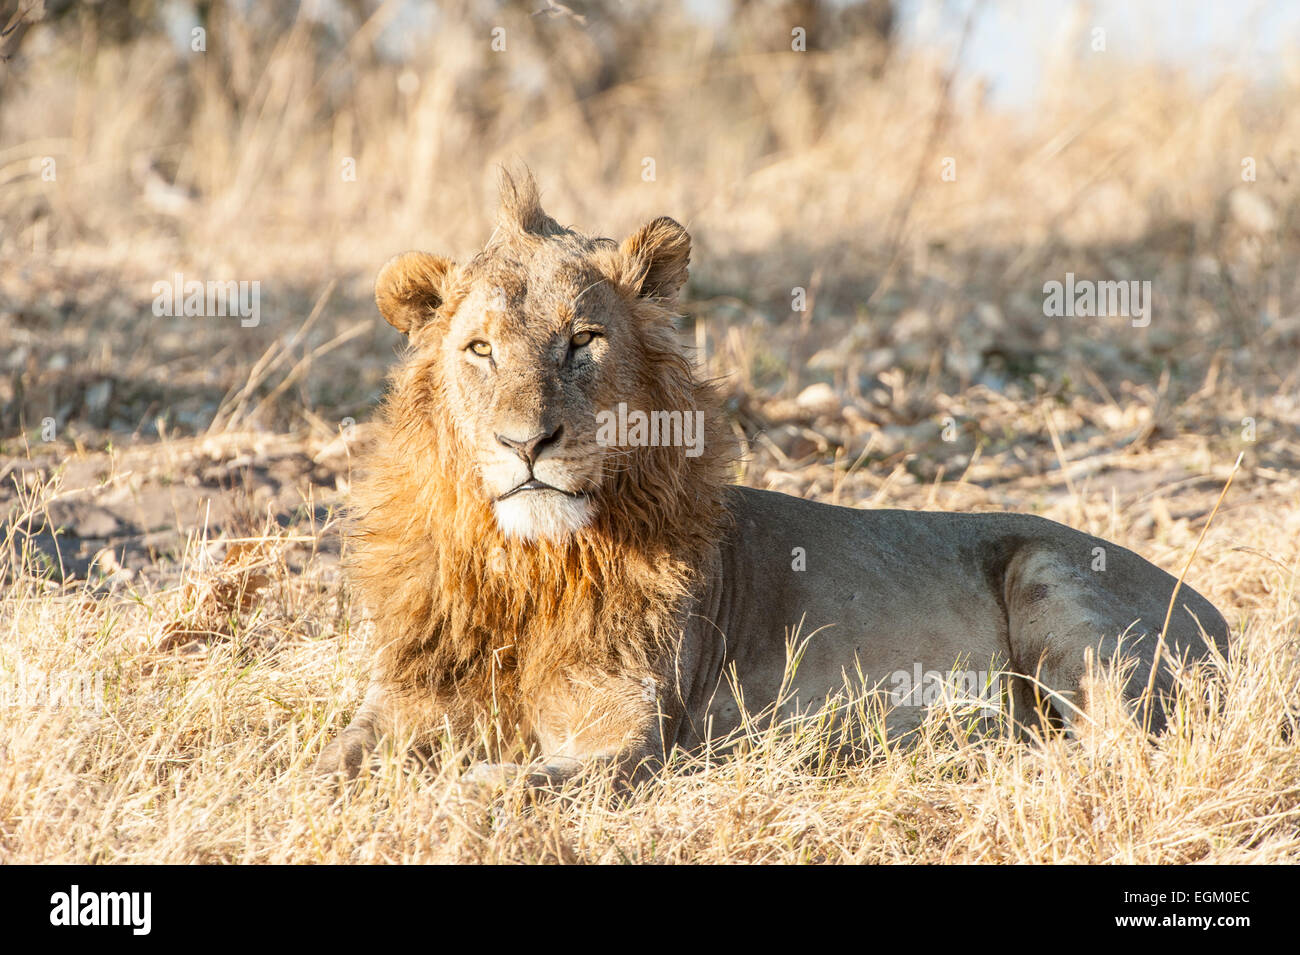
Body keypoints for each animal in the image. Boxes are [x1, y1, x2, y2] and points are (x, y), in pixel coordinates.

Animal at [316, 169, 1230, 786]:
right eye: (479, 349)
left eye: (583, 341)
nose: (526, 441)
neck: (525, 568)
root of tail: (1224, 617)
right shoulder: (399, 702)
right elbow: (326, 768)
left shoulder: (630, 741)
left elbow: (503, 787)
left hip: (1052, 577)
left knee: (1122, 747)